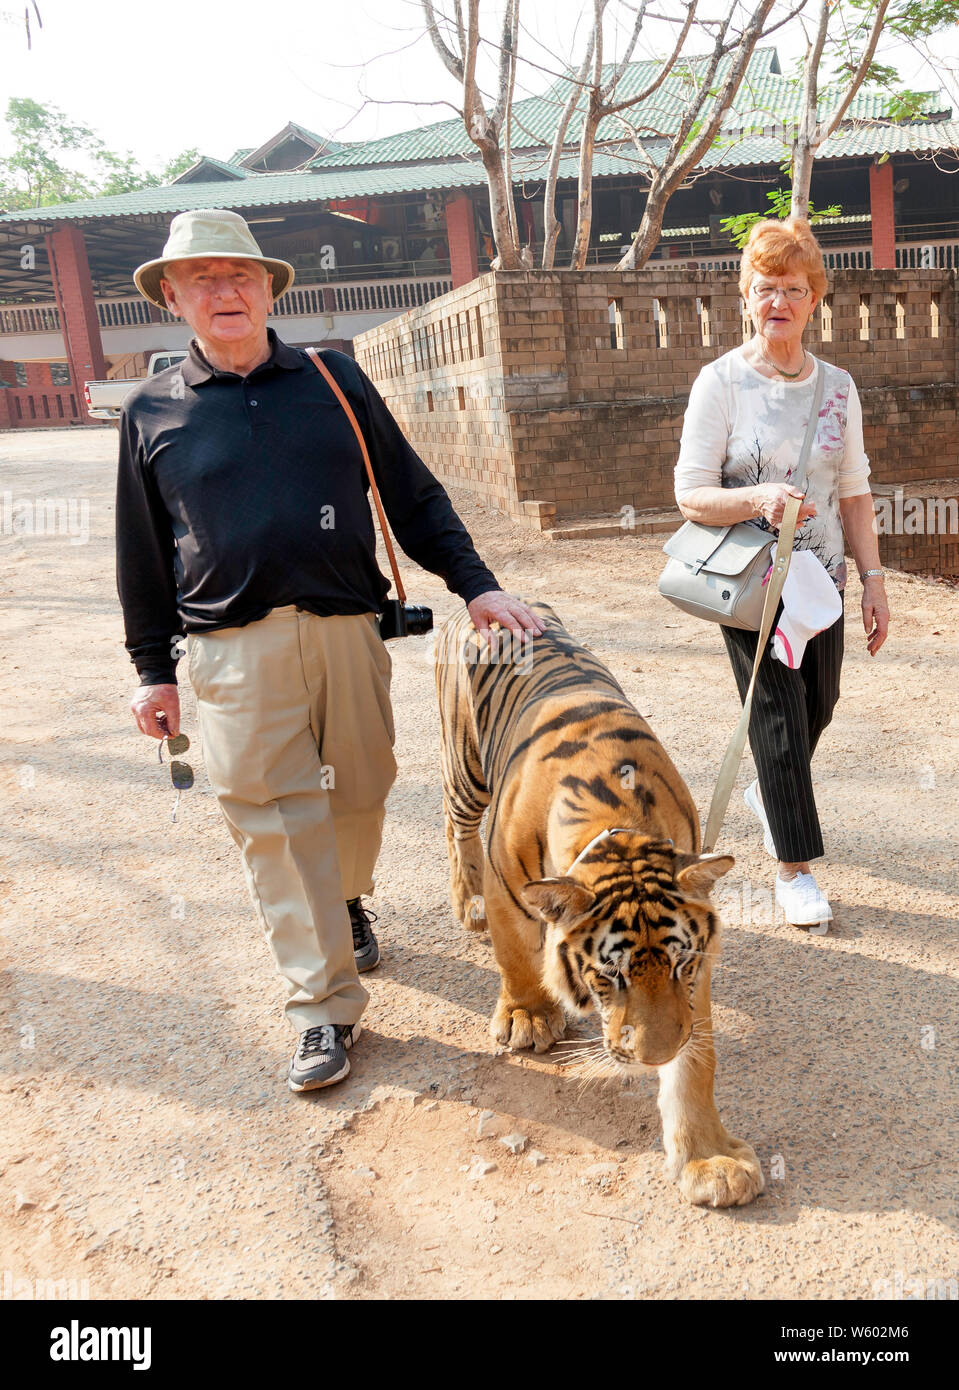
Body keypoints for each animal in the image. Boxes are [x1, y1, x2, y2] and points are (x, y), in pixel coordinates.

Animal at [435, 600, 763, 1208]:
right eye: (611, 975)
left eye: (679, 964)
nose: (656, 1057)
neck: (619, 825)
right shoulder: (507, 885)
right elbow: (516, 956)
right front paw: (528, 1016)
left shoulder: (697, 973)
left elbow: (697, 1061)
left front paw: (712, 1161)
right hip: (465, 771)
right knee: (455, 825)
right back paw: (467, 903)